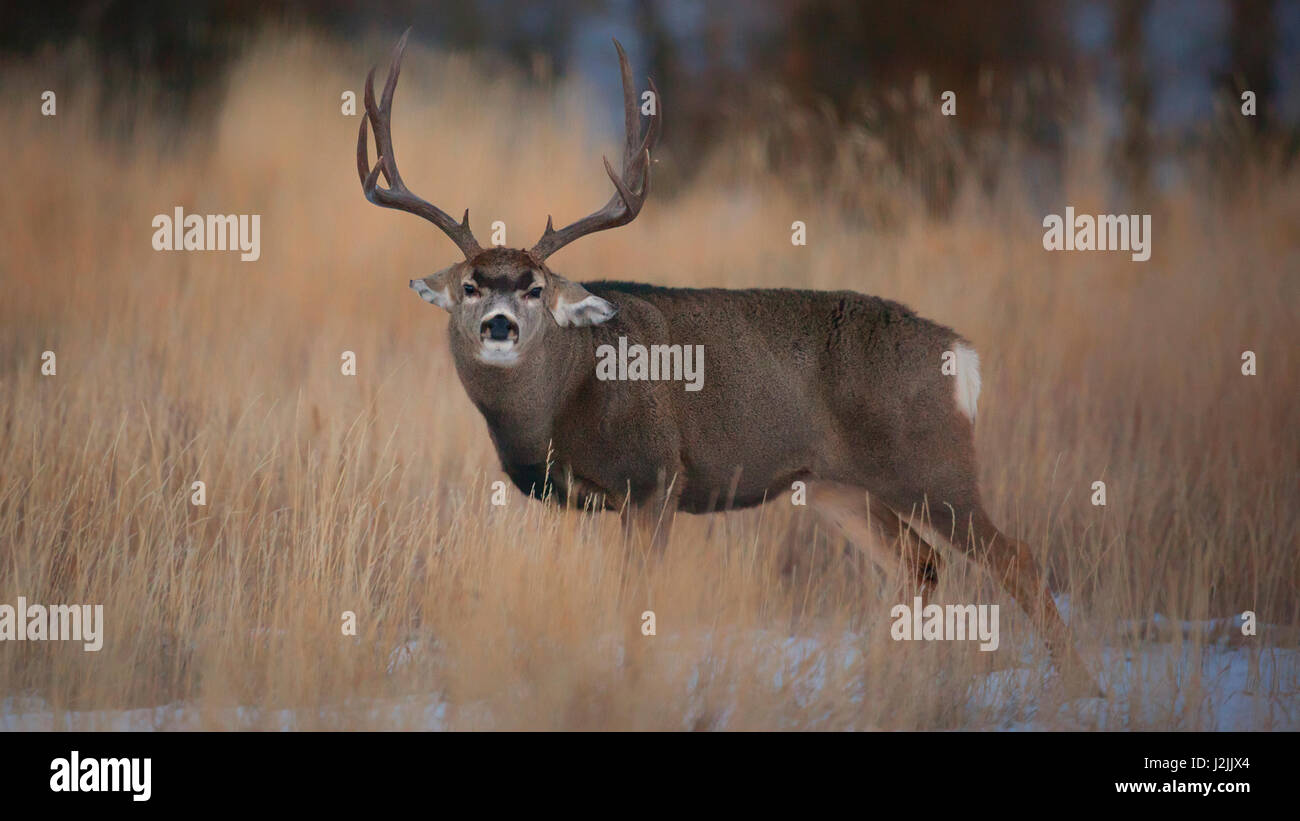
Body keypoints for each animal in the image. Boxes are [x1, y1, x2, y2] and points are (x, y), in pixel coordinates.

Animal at [357, 31, 1098, 695]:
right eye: (469, 285)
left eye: (536, 286)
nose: (500, 324)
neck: (563, 397)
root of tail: (960, 355)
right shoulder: (587, 505)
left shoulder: (656, 478)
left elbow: (637, 600)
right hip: (837, 486)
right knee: (919, 564)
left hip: (933, 463)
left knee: (1014, 556)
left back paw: (1077, 684)